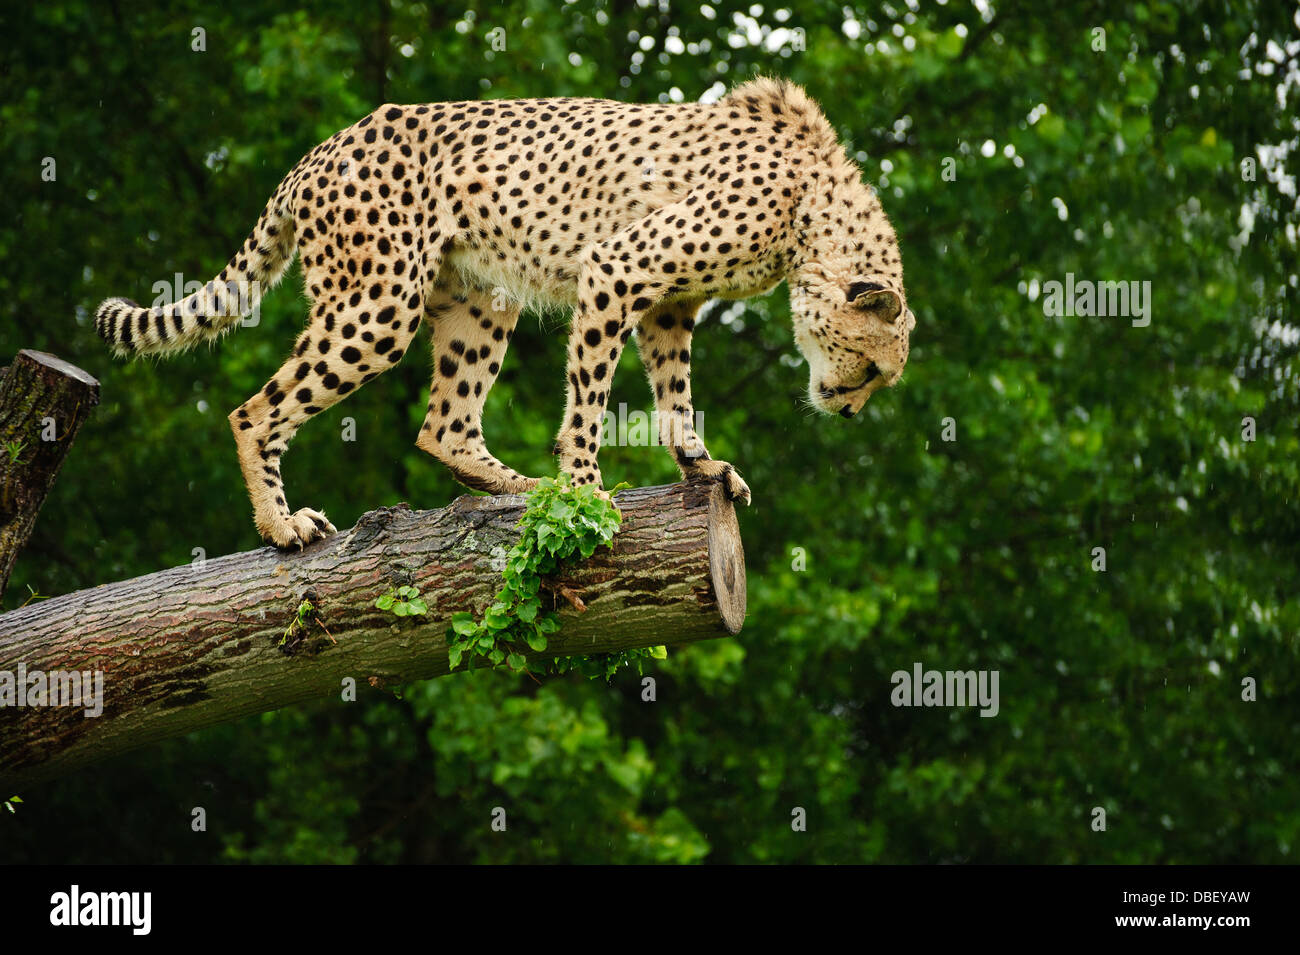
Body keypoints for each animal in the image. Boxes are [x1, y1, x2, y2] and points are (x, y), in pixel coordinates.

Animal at [95, 77, 915, 549]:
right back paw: (280, 525)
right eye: (868, 368)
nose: (846, 409)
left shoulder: (670, 304)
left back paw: (519, 488)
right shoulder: (617, 268)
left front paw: (699, 462)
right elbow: (590, 399)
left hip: (478, 302)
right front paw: (583, 485)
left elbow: (675, 393)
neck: (815, 213)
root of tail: (321, 149)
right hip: (377, 305)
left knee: (443, 426)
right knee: (253, 411)